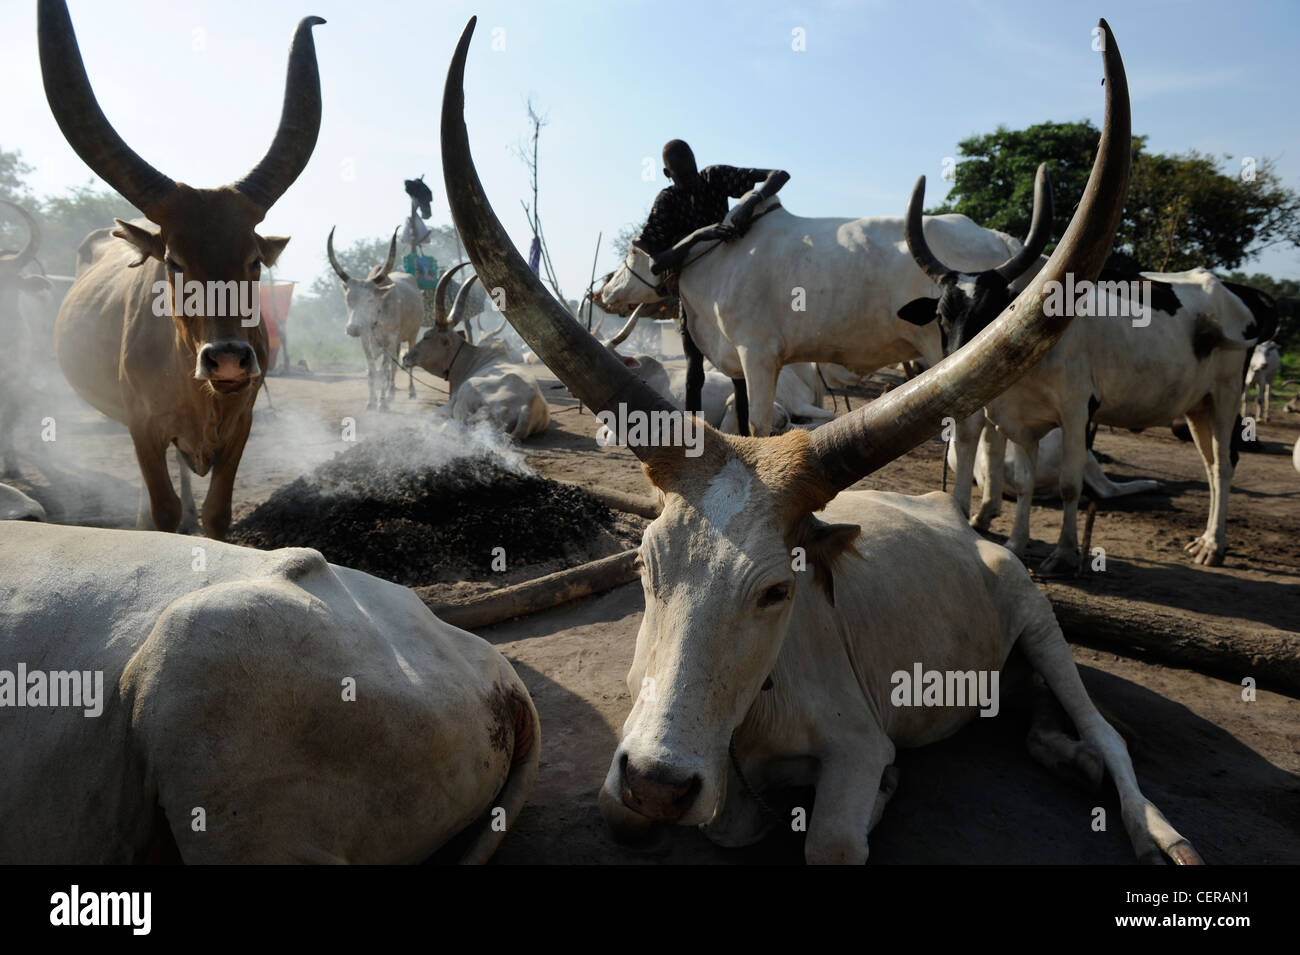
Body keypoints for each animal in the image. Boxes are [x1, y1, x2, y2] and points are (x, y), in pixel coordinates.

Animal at [38, 1, 325, 541]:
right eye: (174, 262)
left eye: (253, 261)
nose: (228, 360)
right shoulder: (142, 428)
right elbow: (162, 510)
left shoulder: (241, 425)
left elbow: (217, 513)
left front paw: (203, 522)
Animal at [327, 228, 424, 410]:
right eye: (348, 299)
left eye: (370, 299)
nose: (352, 328)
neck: (376, 319)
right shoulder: (366, 340)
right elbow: (372, 371)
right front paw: (372, 401)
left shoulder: (390, 340)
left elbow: (384, 370)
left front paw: (382, 403)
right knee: (394, 365)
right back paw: (391, 393)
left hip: (412, 335)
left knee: (404, 365)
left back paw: (411, 392)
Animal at [402, 264, 549, 439]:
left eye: (426, 336)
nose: (405, 357)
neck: (471, 359)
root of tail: (526, 408)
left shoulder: (451, 403)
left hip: (466, 395)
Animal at [594, 153, 1051, 440]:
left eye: (631, 253)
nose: (605, 290)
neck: (710, 260)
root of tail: (996, 236)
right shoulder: (737, 360)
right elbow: (739, 417)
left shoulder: (758, 353)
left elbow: (758, 425)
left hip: (947, 351)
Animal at [902, 184, 1276, 573]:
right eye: (942, 315)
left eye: (993, 313)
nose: (958, 361)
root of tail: (1236, 290)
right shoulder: (1019, 419)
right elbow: (1024, 484)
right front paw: (1017, 543)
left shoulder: (1077, 412)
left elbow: (1070, 485)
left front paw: (1065, 553)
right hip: (1198, 406)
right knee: (1210, 464)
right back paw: (1205, 539)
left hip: (1226, 396)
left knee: (1224, 464)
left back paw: (1214, 545)